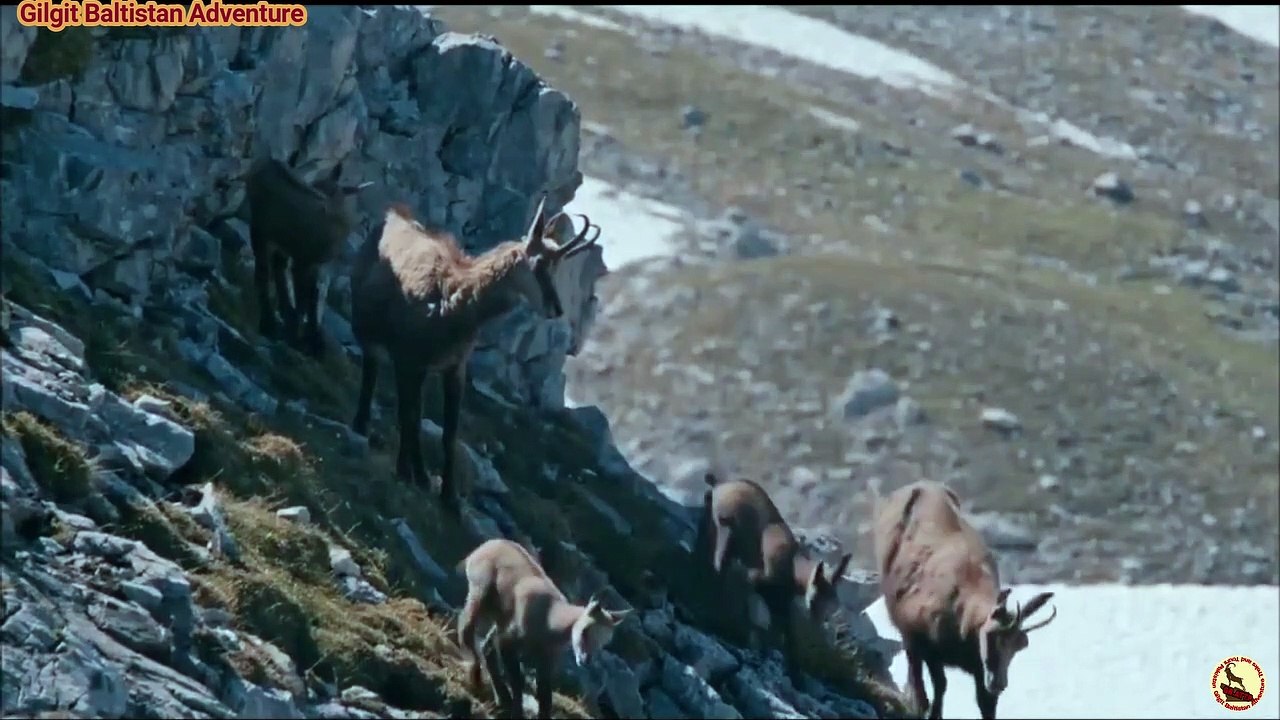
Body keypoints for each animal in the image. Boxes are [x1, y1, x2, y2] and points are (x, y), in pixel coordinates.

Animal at [245, 156, 372, 357]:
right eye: (317, 184)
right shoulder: (305, 262)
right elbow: (305, 299)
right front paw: (302, 339)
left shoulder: (314, 265)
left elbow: (313, 298)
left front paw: (312, 340)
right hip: (260, 229)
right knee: (264, 274)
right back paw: (269, 324)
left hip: (270, 237)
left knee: (272, 272)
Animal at [348, 197, 599, 513]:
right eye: (539, 264)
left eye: (558, 268)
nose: (556, 309)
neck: (452, 301)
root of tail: (393, 215)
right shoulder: (408, 360)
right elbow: (410, 415)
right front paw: (407, 472)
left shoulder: (454, 368)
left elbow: (448, 432)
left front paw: (448, 496)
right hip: (367, 328)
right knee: (372, 373)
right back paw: (362, 425)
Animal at [457, 538, 630, 719]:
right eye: (585, 630)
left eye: (604, 642)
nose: (585, 660)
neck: (550, 620)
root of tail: (485, 546)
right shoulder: (509, 641)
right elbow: (517, 681)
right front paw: (517, 712)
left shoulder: (547, 658)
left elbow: (545, 694)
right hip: (480, 591)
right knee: (467, 628)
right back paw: (477, 678)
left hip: (501, 616)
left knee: (486, 647)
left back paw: (501, 697)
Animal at [697, 472, 852, 678]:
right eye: (815, 599)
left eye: (834, 604)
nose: (819, 625)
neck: (792, 566)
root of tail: (722, 484)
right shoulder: (757, 581)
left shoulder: (779, 601)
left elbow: (788, 636)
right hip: (725, 530)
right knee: (717, 565)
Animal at [871, 480, 1058, 719]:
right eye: (991, 635)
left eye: (1021, 645)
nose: (998, 683)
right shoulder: (928, 642)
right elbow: (940, 685)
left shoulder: (978, 665)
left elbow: (985, 703)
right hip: (906, 630)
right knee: (916, 678)